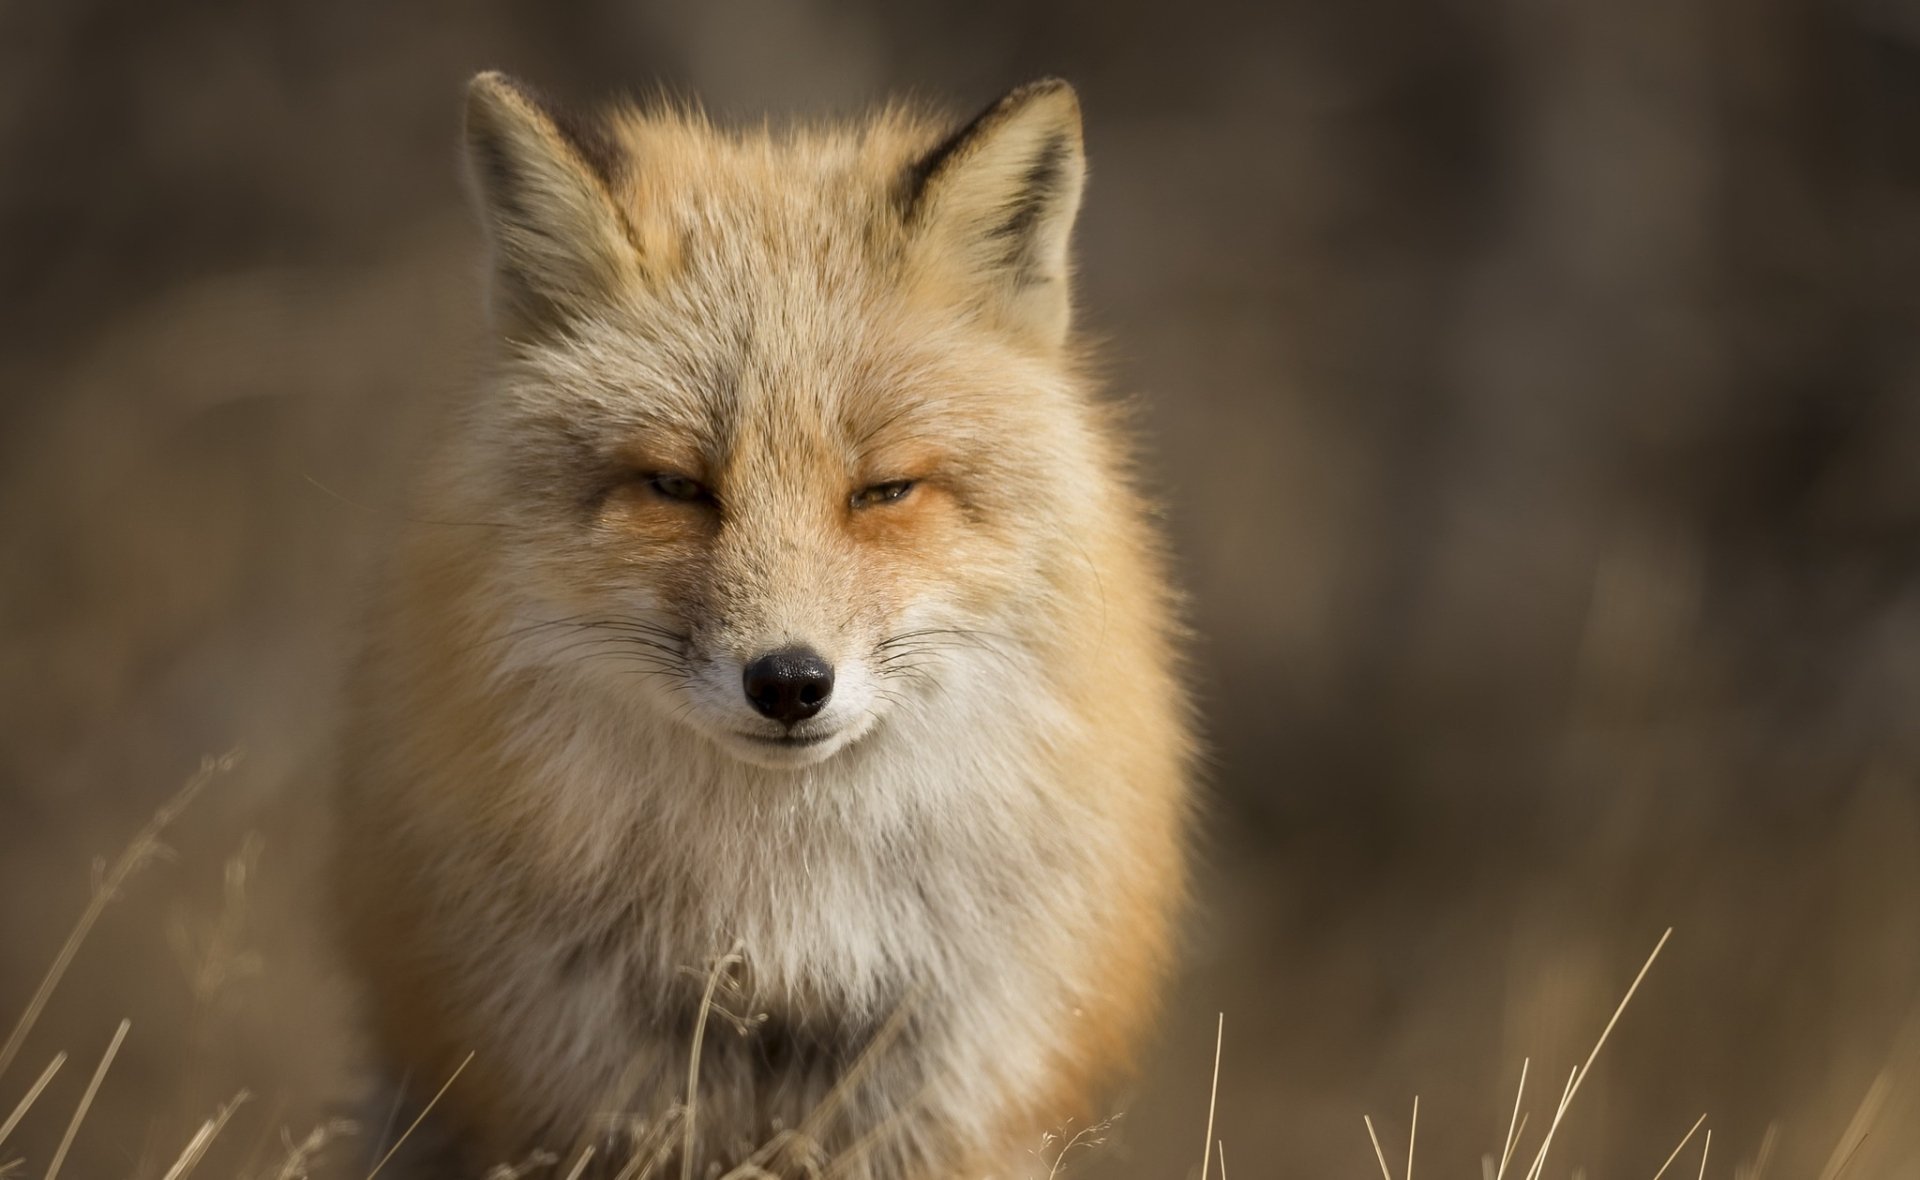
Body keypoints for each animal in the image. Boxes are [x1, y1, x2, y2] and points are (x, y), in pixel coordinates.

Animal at [329, 70, 1193, 1178]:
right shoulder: (578, 1073)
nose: (788, 682)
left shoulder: (949, 1079)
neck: (783, 921)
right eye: (676, 487)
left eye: (884, 490)